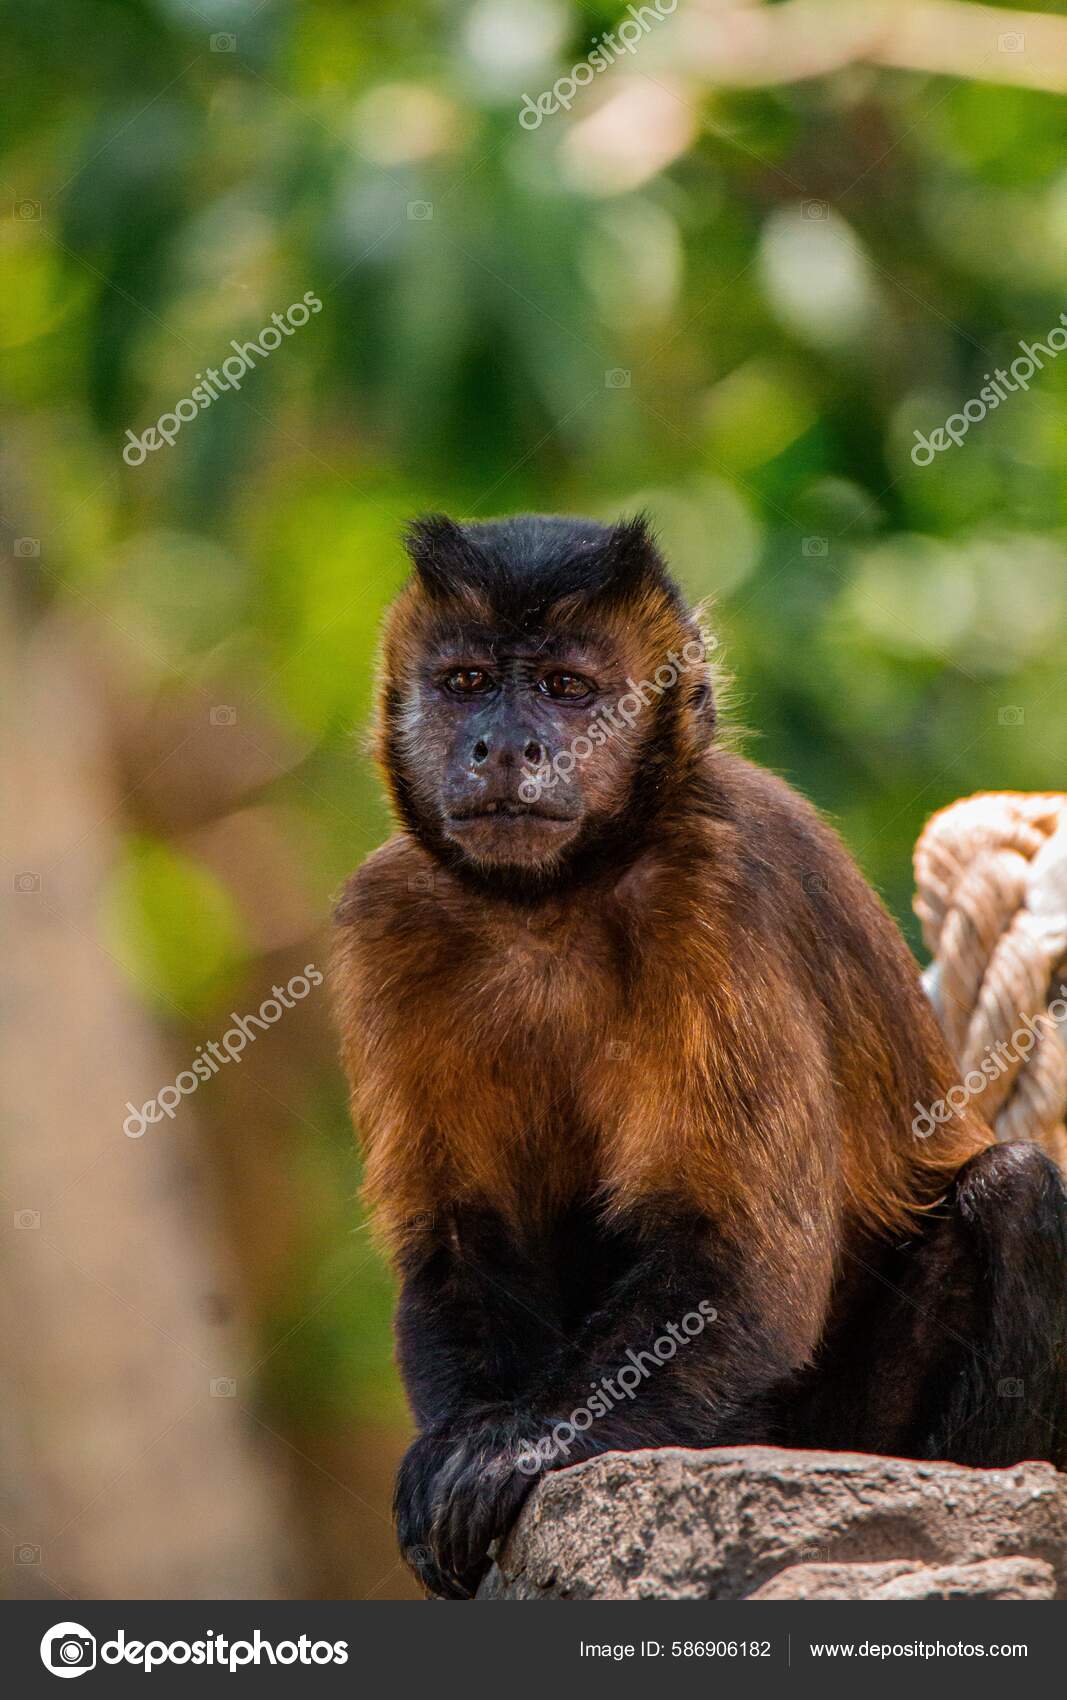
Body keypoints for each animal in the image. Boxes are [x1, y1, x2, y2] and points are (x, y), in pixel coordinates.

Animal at [332, 512, 1067, 1600]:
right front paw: (465, 1442)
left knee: (1015, 1189)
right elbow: (457, 1239)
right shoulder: (391, 912)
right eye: (464, 681)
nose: (502, 744)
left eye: (566, 687)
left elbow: (741, 1259)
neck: (553, 899)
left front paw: (514, 1449)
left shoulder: (721, 889)